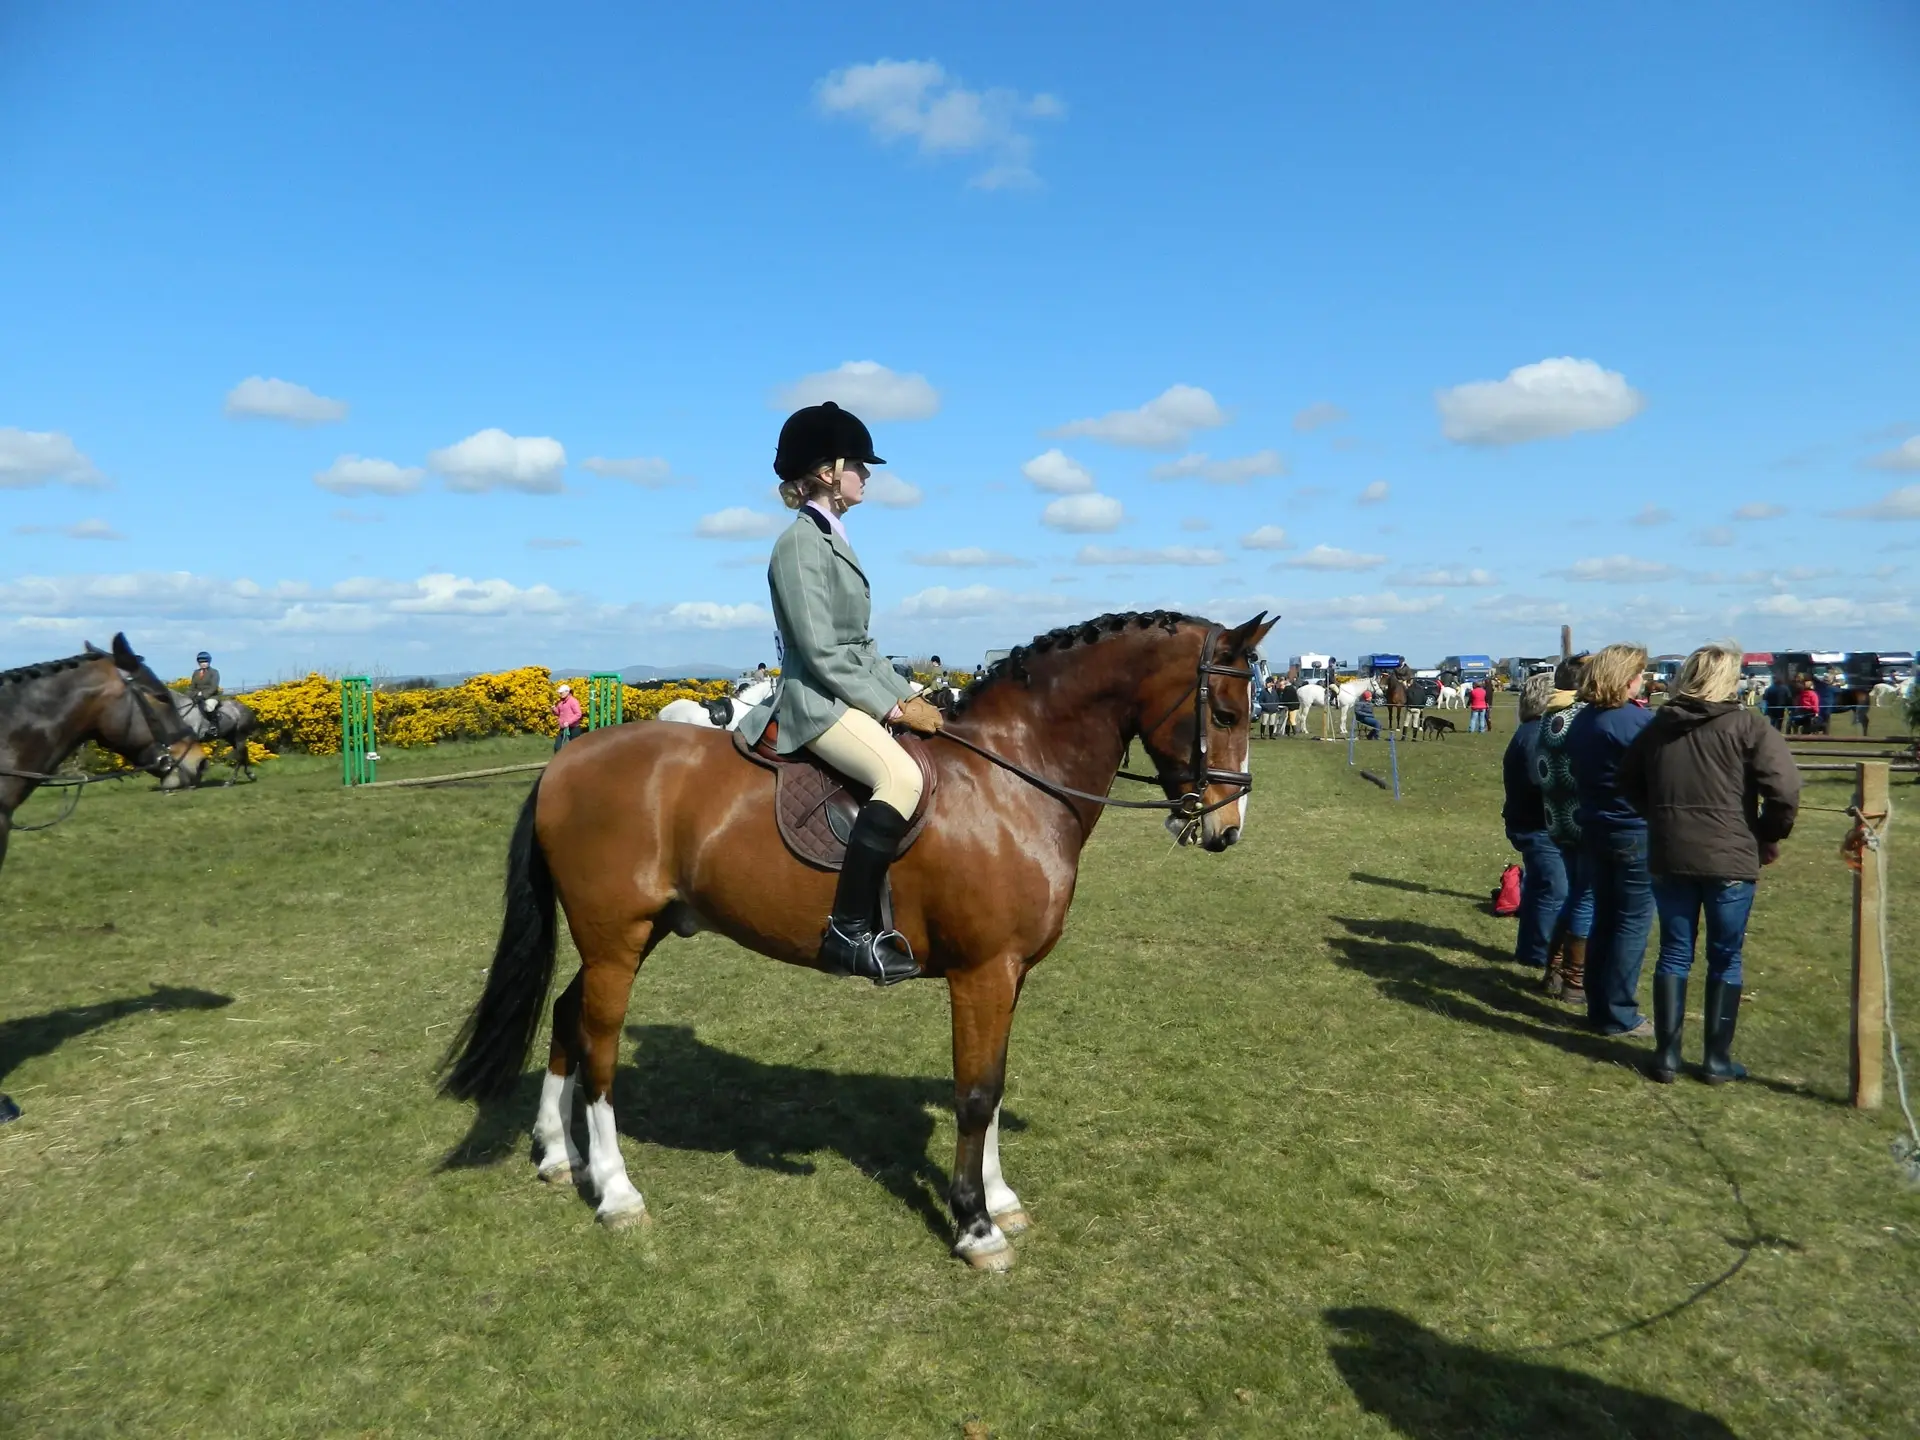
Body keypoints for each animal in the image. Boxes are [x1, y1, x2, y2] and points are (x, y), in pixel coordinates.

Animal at [440, 610, 1273, 1269]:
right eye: (1227, 713)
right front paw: (975, 1228)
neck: (1013, 779)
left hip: (628, 936)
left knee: (568, 1016)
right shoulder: (983, 972)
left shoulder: (1011, 975)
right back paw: (616, 1192)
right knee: (603, 1048)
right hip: (616, 940)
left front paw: (1001, 1200)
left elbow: (995, 1084)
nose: (1227, 831)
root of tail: (569, 762)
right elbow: (976, 1093)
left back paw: (556, 1154)